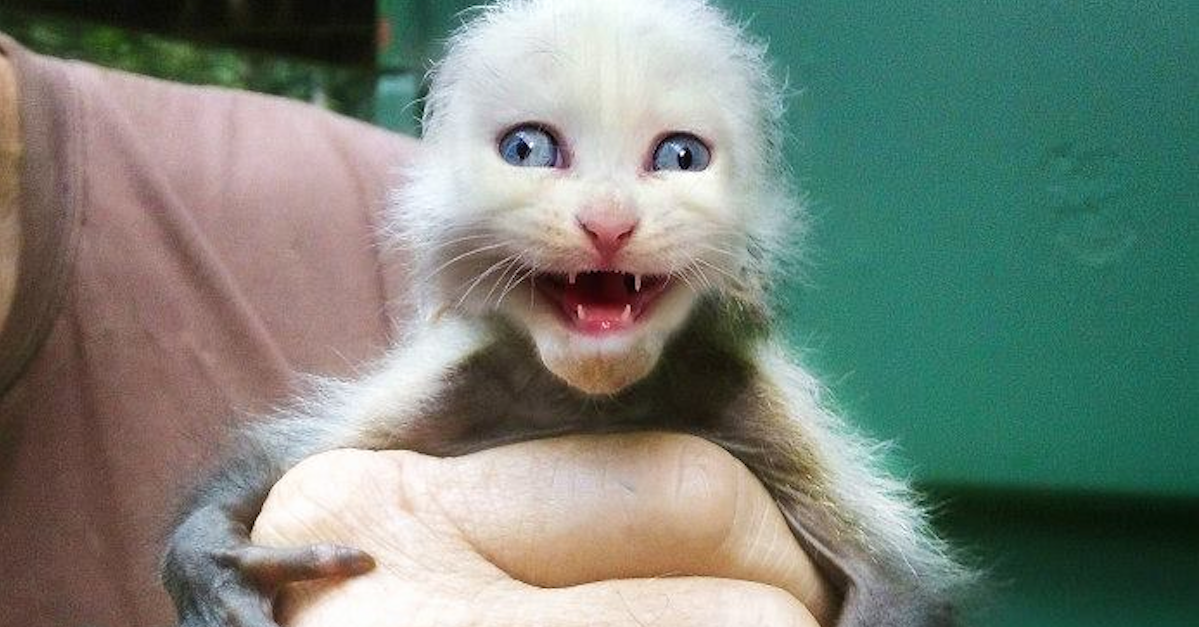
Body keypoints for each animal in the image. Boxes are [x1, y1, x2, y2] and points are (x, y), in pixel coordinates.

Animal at [162, 1, 972, 625]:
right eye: (529, 148)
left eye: (679, 157)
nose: (608, 223)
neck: (594, 403)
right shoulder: (464, 379)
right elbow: (284, 463)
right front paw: (209, 561)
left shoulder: (741, 389)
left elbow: (899, 587)